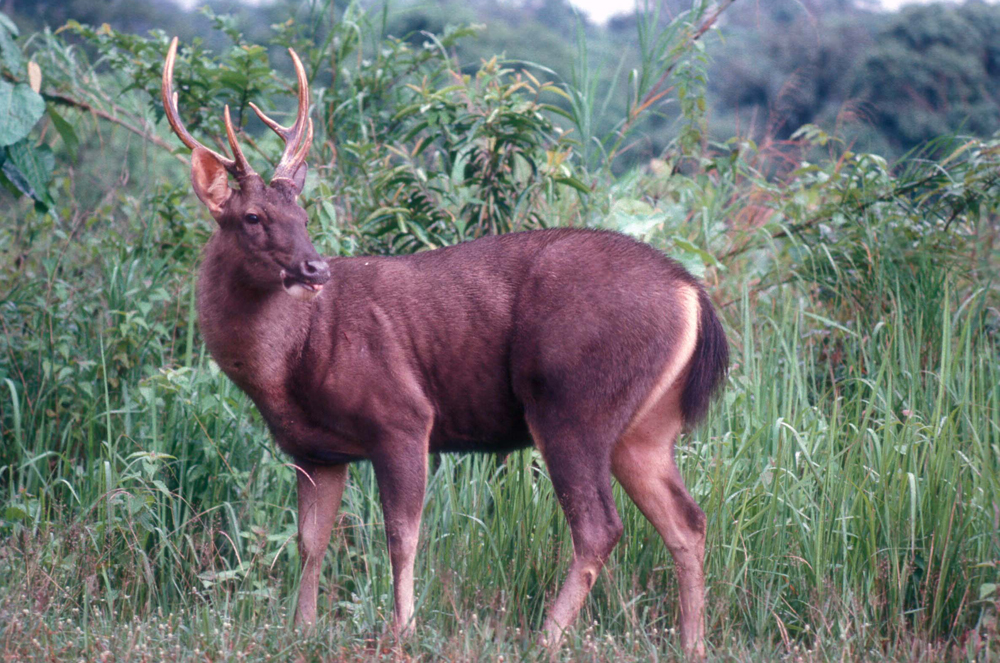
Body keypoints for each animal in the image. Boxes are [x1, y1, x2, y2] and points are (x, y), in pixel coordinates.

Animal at [161, 37, 728, 658]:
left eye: (303, 215)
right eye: (254, 216)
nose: (315, 269)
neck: (291, 363)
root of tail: (691, 292)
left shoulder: (403, 416)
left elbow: (401, 535)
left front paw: (402, 629)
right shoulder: (313, 450)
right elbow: (311, 541)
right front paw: (301, 629)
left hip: (572, 401)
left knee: (600, 525)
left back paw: (545, 638)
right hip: (645, 427)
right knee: (688, 520)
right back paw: (692, 643)